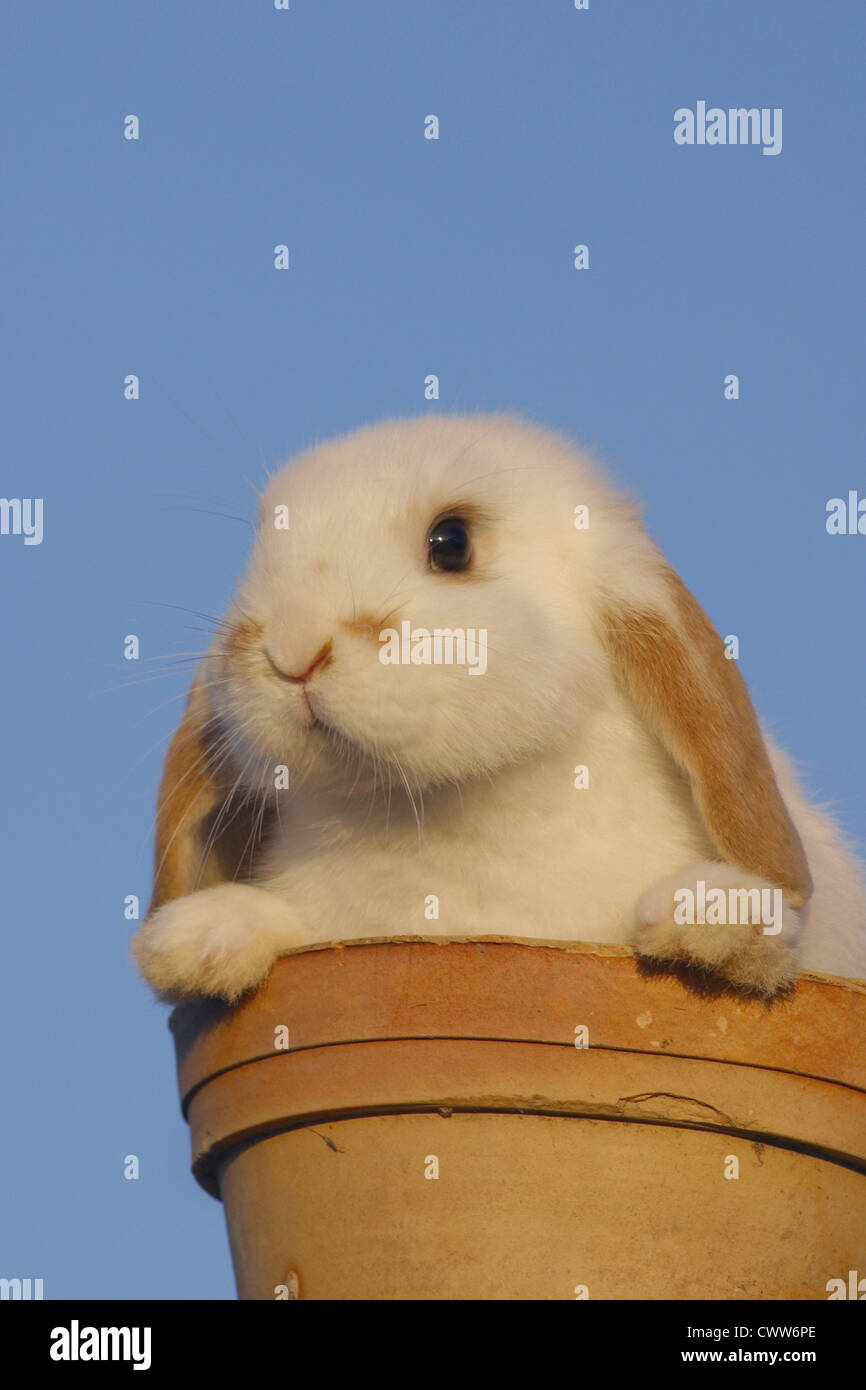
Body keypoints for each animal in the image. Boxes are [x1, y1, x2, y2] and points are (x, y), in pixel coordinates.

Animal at [131, 413, 866, 1003]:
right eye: (260, 546)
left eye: (451, 542)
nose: (291, 649)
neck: (436, 818)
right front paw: (202, 937)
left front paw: (708, 915)